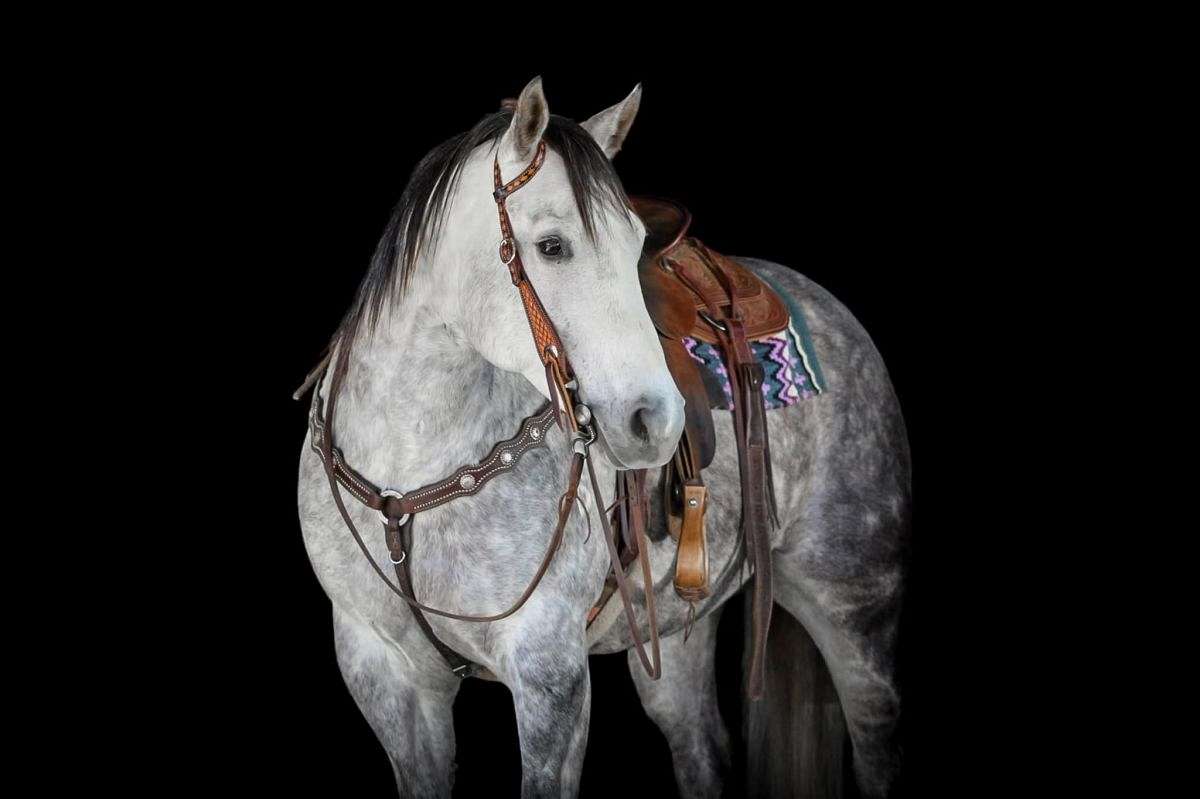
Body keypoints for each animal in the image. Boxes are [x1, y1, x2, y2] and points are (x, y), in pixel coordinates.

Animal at [296, 76, 910, 798]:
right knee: (703, 751)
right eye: (552, 246)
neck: (409, 473)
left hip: (856, 609)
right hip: (676, 629)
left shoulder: (549, 669)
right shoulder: (382, 670)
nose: (657, 421)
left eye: (634, 243)